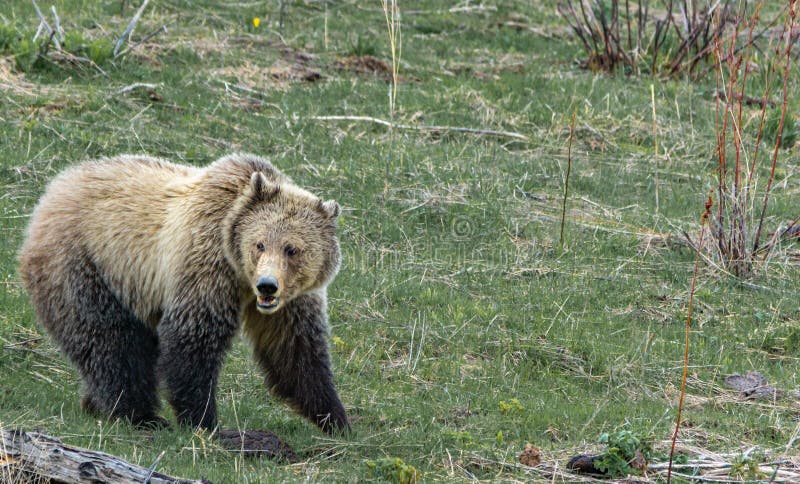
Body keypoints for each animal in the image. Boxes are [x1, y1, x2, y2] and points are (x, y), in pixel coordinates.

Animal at [18, 153, 349, 434]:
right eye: (259, 244)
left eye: (292, 249)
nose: (267, 285)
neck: (240, 272)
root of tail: (52, 192)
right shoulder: (207, 265)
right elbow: (194, 338)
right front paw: (204, 421)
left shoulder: (291, 302)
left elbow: (296, 350)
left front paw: (334, 417)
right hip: (88, 265)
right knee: (110, 342)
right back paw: (140, 415)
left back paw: (94, 403)